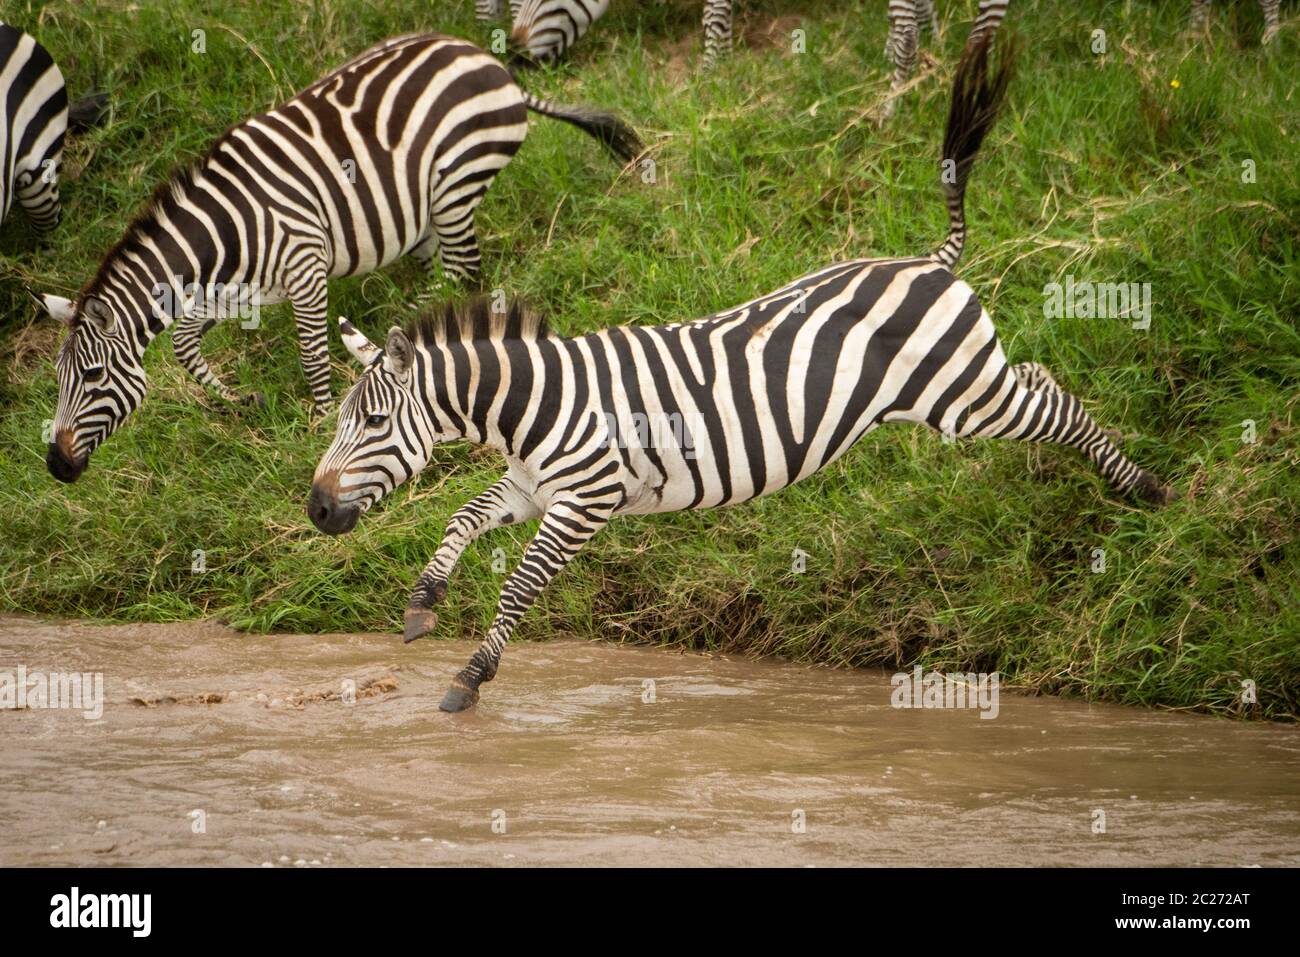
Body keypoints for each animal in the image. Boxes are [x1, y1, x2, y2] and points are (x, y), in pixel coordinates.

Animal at [42, 33, 642, 485]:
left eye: (91, 377)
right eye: (58, 379)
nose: (57, 467)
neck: (223, 233)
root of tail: (483, 54)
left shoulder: (305, 268)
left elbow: (311, 356)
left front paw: (322, 423)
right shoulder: (241, 292)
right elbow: (186, 343)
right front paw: (239, 401)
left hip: (456, 181)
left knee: (464, 273)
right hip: (430, 206)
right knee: (443, 276)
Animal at [308, 34, 1176, 713]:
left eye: (372, 423)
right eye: (344, 423)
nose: (315, 511)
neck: (543, 403)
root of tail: (930, 259)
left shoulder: (585, 500)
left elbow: (520, 586)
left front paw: (470, 677)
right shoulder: (533, 486)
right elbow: (461, 516)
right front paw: (423, 603)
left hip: (963, 396)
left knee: (1050, 395)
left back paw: (1145, 487)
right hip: (967, 388)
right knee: (1038, 375)